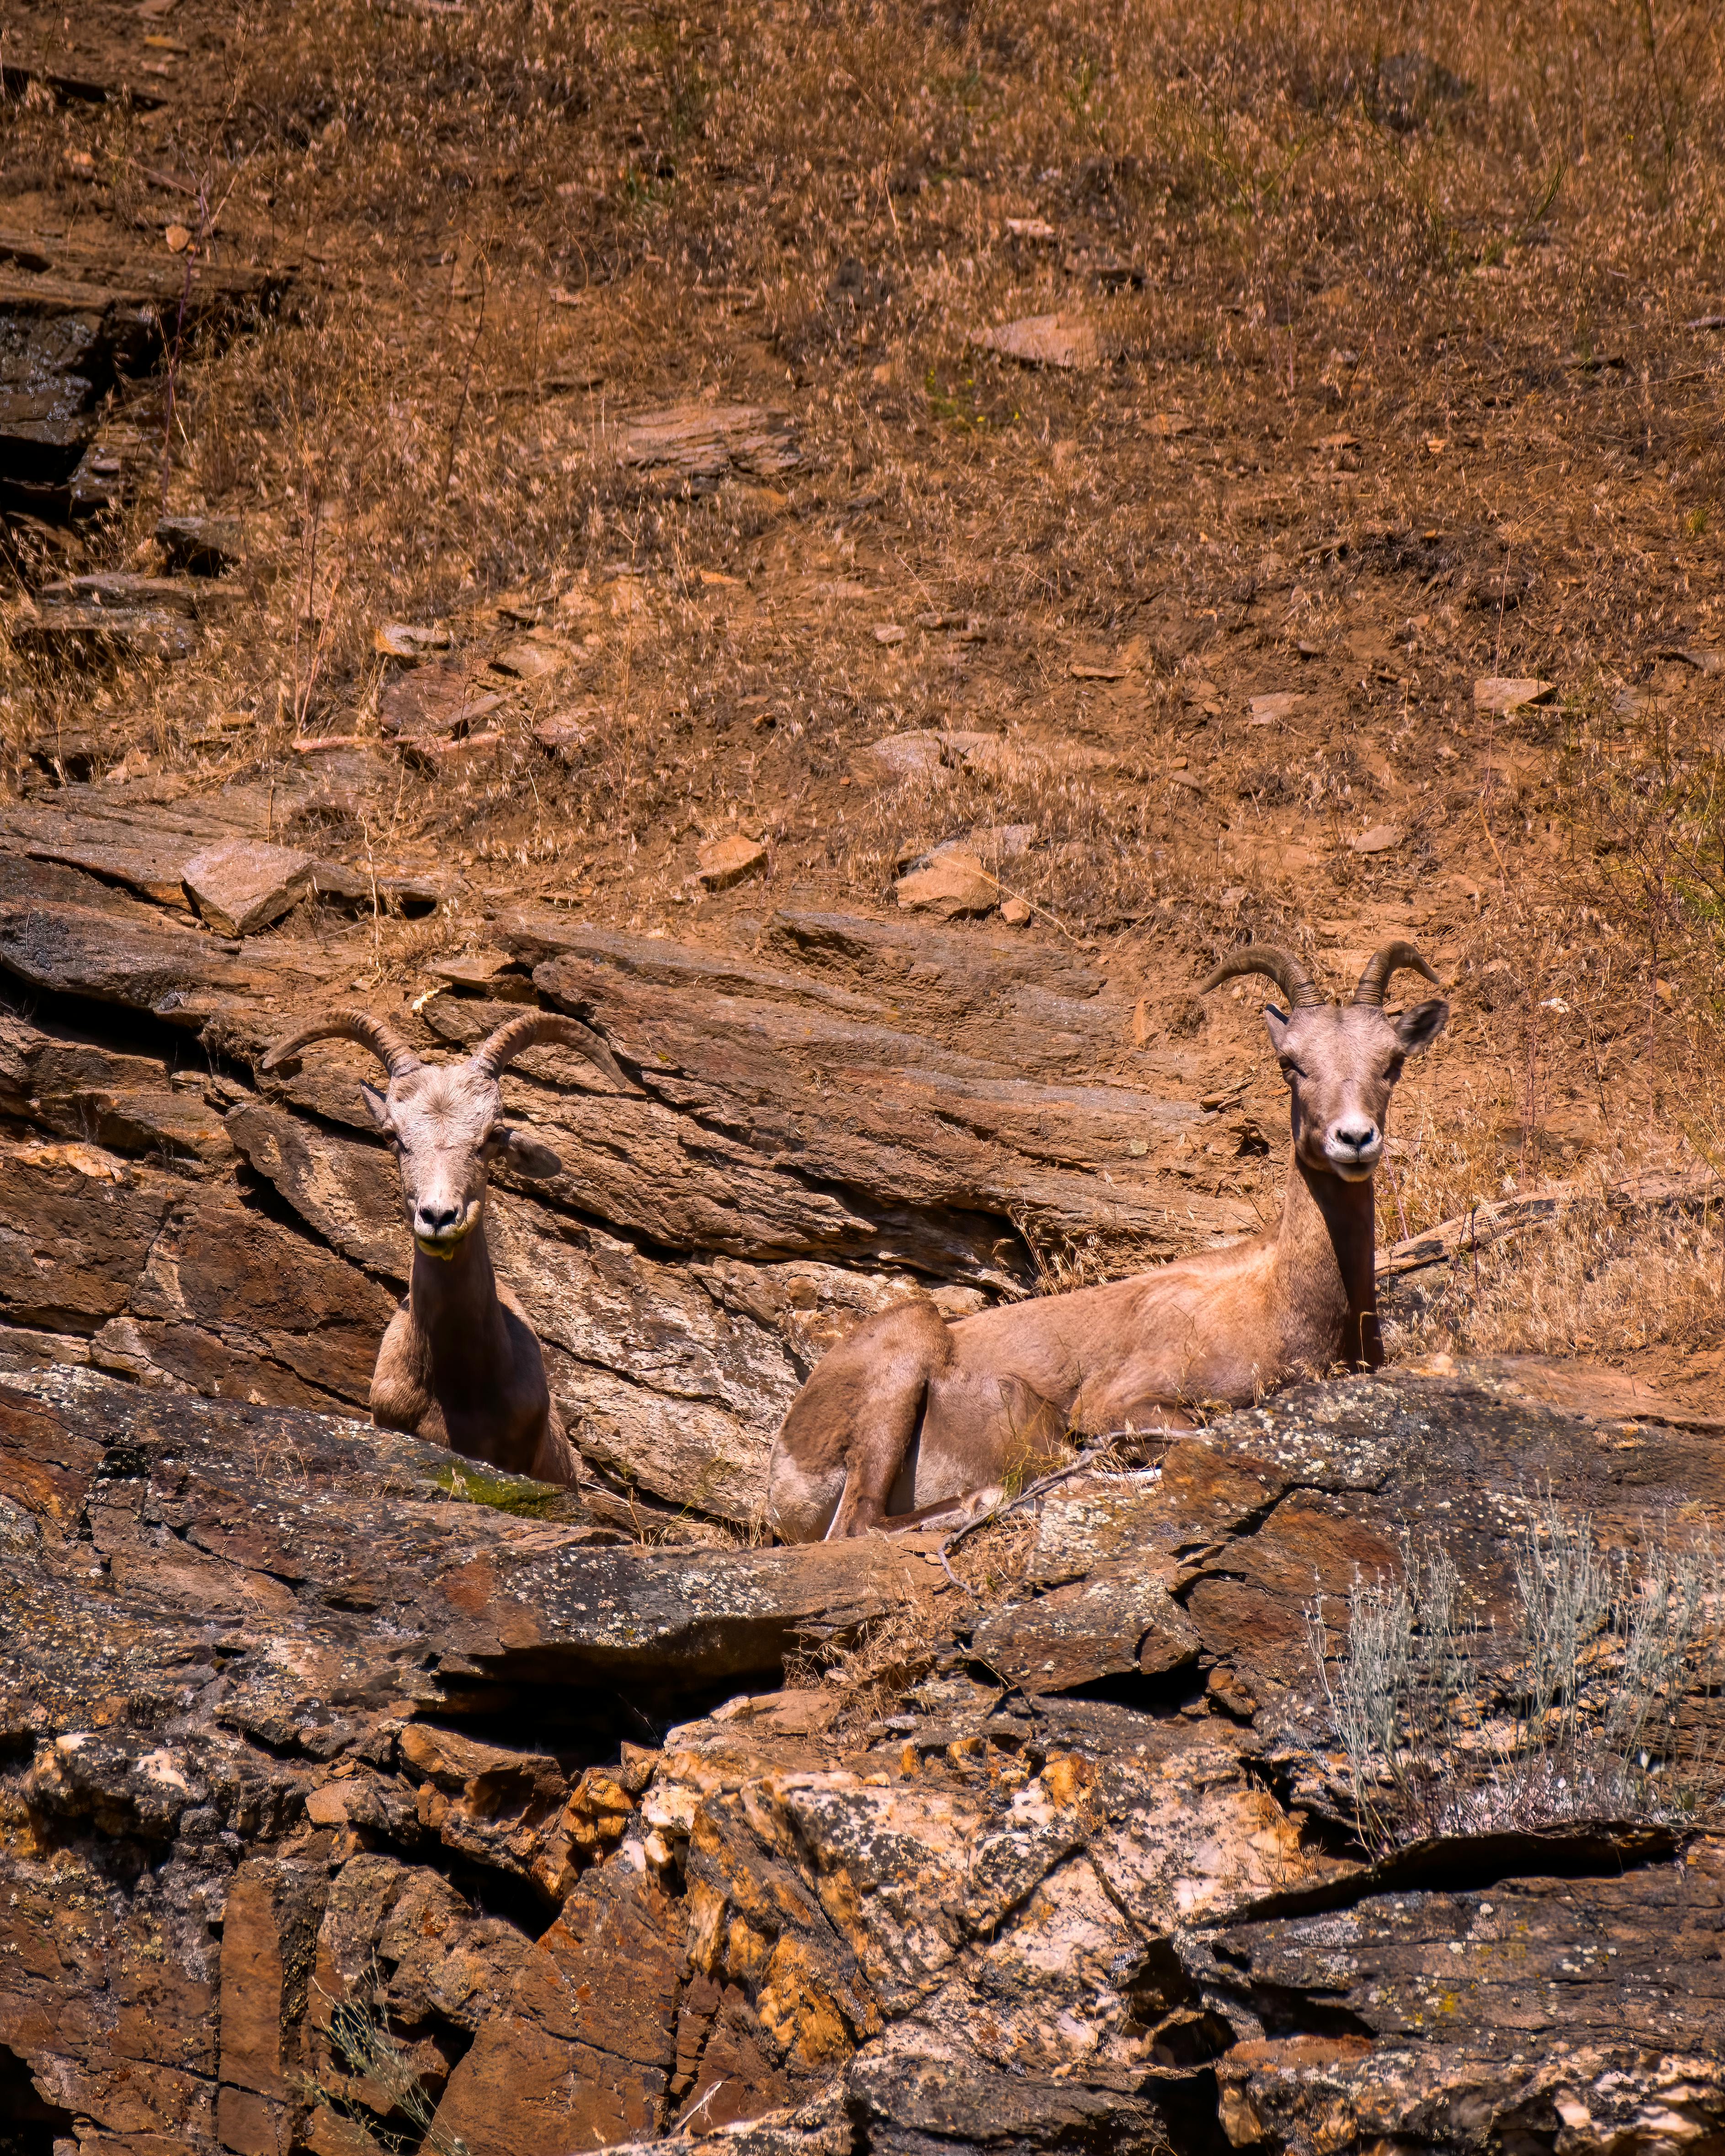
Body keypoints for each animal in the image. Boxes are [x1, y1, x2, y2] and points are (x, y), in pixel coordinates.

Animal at [766, 941, 1447, 1542]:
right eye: (1291, 1064)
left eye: (1392, 1062)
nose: (1353, 1140)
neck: (1285, 1303)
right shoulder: (1117, 1402)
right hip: (905, 1356)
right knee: (858, 1525)